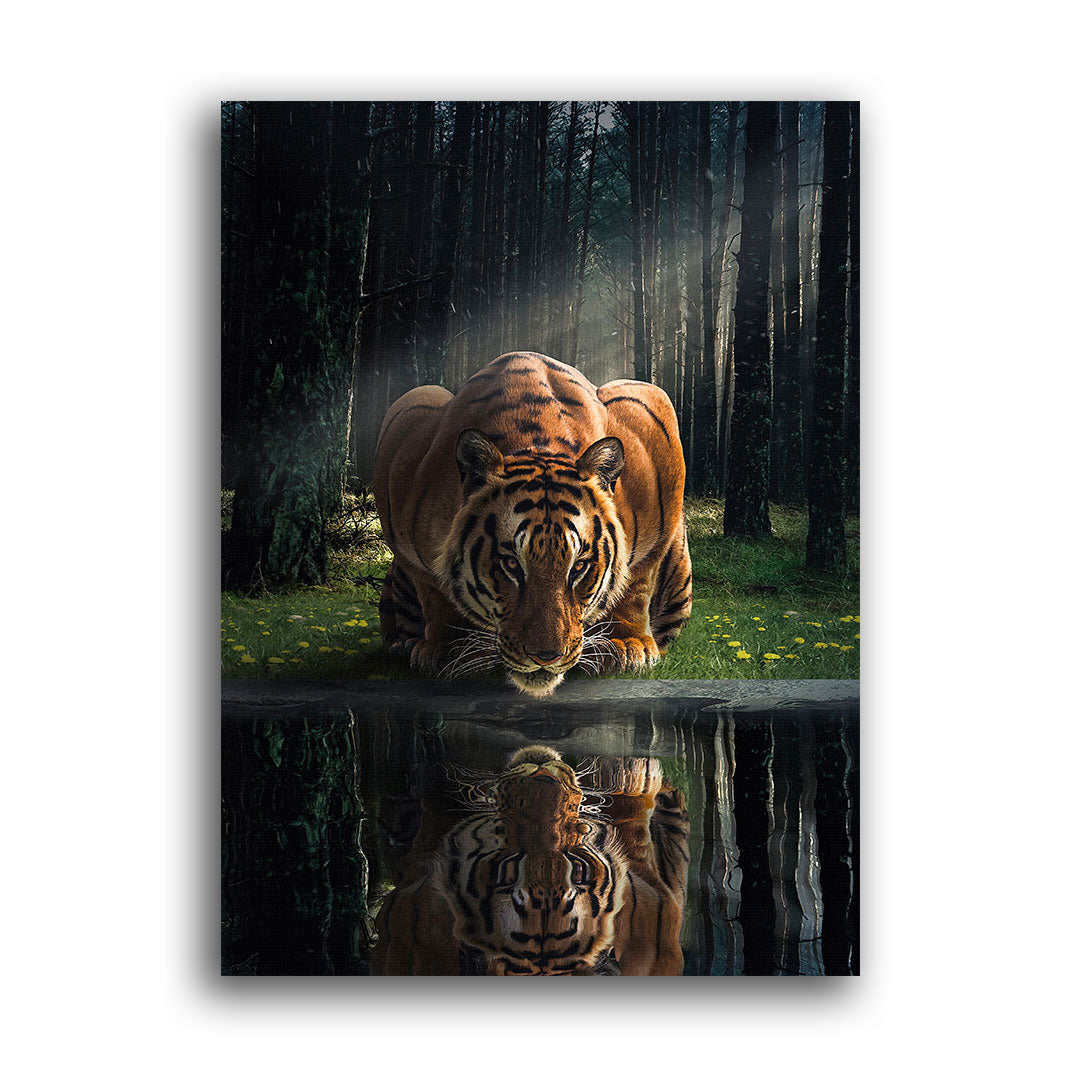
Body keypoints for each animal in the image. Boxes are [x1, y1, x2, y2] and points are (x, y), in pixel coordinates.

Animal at [373, 351, 692, 696]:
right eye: (511, 564)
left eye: (579, 567)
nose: (546, 657)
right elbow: (433, 590)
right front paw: (449, 650)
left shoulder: (654, 421)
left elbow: (637, 582)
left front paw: (627, 646)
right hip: (418, 396)